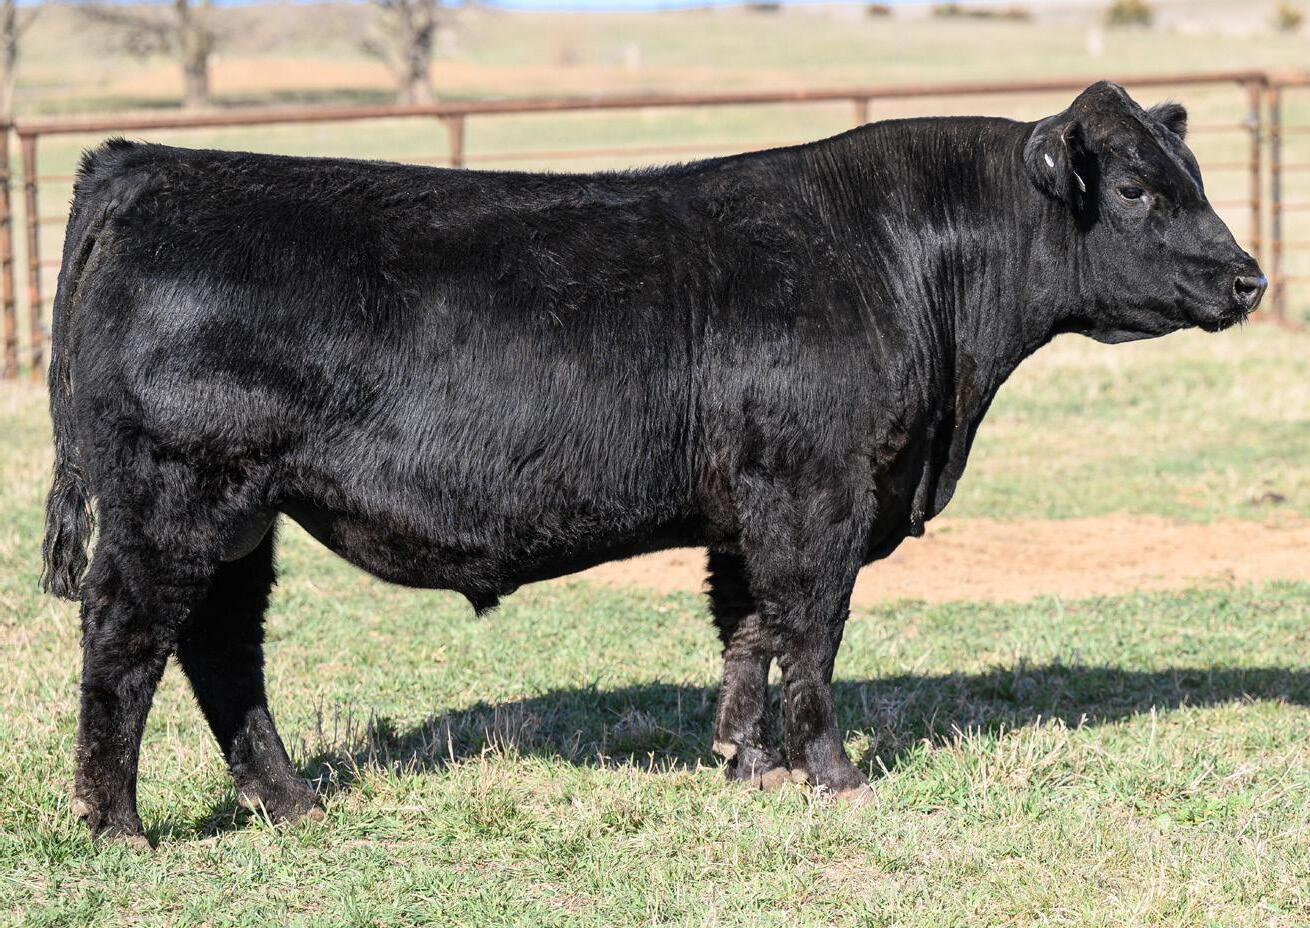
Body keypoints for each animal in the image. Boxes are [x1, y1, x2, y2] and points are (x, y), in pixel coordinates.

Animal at [41, 82, 1264, 846]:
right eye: (1137, 189)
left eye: (1192, 172)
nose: (1250, 278)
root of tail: (148, 165)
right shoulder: (816, 495)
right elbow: (811, 632)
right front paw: (832, 773)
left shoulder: (749, 510)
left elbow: (748, 629)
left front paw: (746, 761)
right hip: (174, 498)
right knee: (128, 640)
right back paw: (119, 824)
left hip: (243, 517)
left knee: (220, 649)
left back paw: (291, 803)